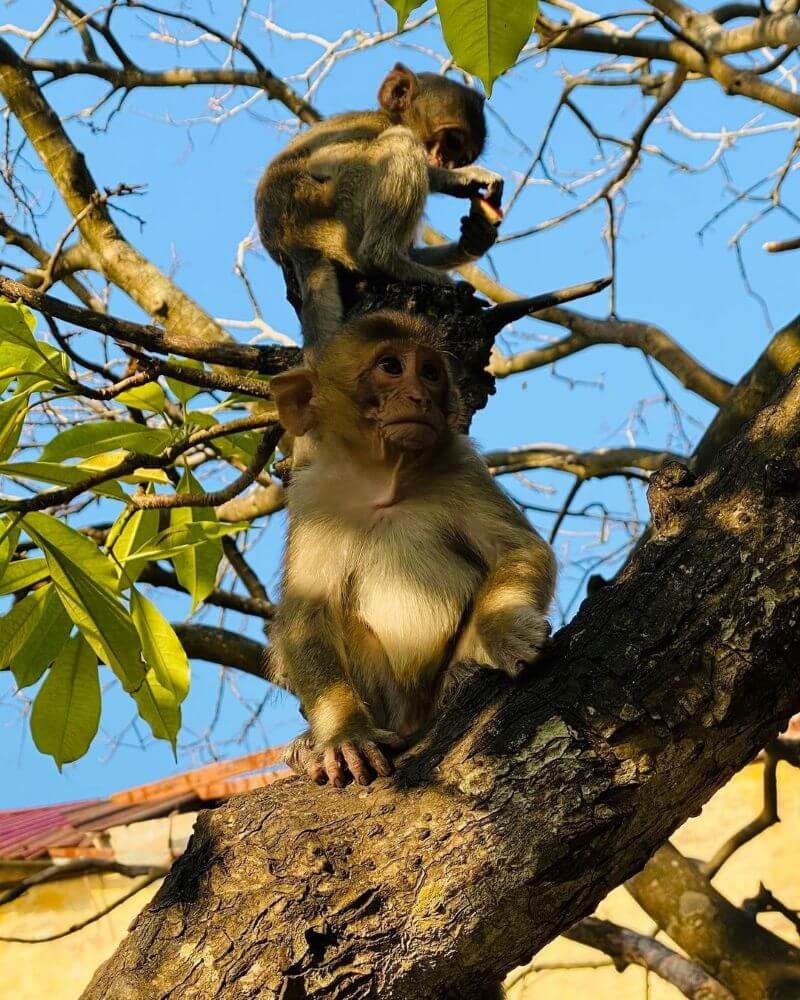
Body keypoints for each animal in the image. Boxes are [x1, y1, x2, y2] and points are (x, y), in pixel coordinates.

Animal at [256, 63, 504, 356]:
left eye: (461, 157)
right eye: (452, 141)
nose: (445, 163)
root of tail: (292, 242)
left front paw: (475, 237)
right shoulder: (374, 127)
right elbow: (323, 160)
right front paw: (456, 179)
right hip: (336, 212)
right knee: (401, 142)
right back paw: (386, 259)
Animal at [267, 311, 556, 788]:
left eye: (430, 372)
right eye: (391, 367)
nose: (420, 396)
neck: (384, 481)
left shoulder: (461, 466)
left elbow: (518, 549)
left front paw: (503, 631)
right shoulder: (312, 498)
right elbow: (308, 614)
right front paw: (345, 733)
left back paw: (460, 675)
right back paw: (310, 748)